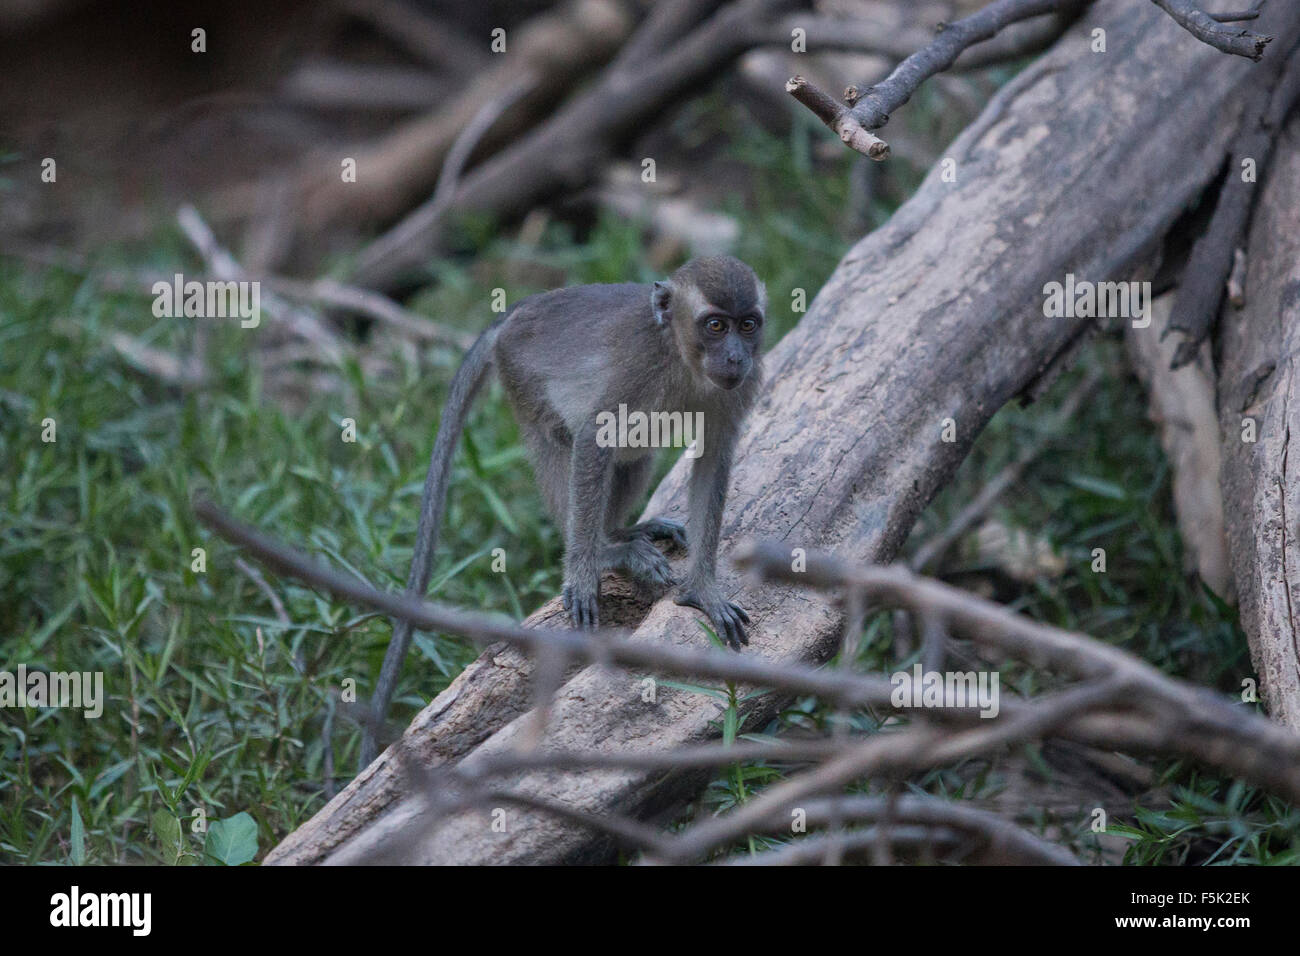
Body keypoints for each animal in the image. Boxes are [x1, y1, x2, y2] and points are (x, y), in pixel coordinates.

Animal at [361, 255, 765, 765]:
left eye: (746, 325)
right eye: (715, 325)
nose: (734, 357)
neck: (680, 357)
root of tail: (520, 308)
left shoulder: (736, 389)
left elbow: (712, 459)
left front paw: (704, 589)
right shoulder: (637, 369)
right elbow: (595, 438)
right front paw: (582, 573)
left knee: (634, 452)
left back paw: (620, 533)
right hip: (519, 371)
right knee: (565, 440)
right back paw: (608, 551)